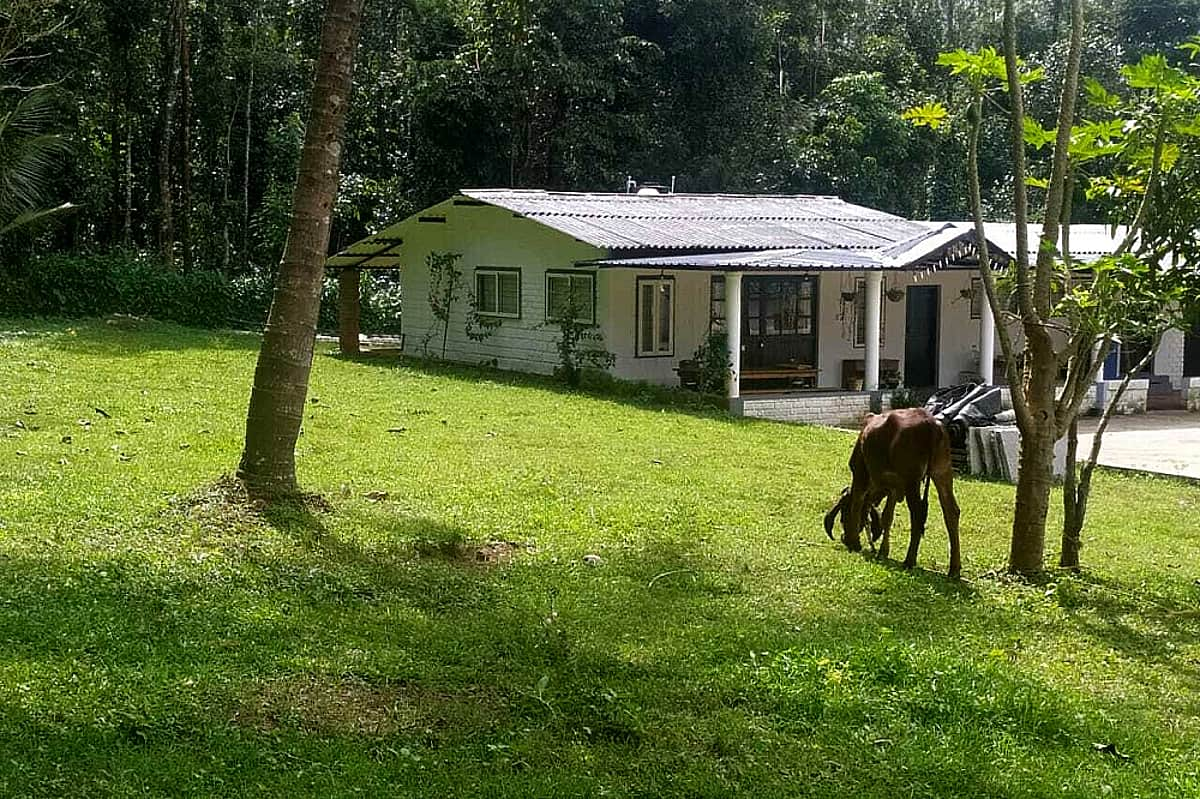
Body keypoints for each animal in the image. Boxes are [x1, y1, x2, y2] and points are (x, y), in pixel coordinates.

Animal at [825, 407, 964, 575]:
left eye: (842, 516)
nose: (844, 538)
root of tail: (930, 424)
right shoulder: (893, 488)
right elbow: (887, 517)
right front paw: (883, 551)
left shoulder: (859, 473)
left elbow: (856, 505)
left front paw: (855, 543)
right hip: (942, 473)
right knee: (951, 512)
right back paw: (954, 569)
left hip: (912, 482)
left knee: (917, 515)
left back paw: (909, 560)